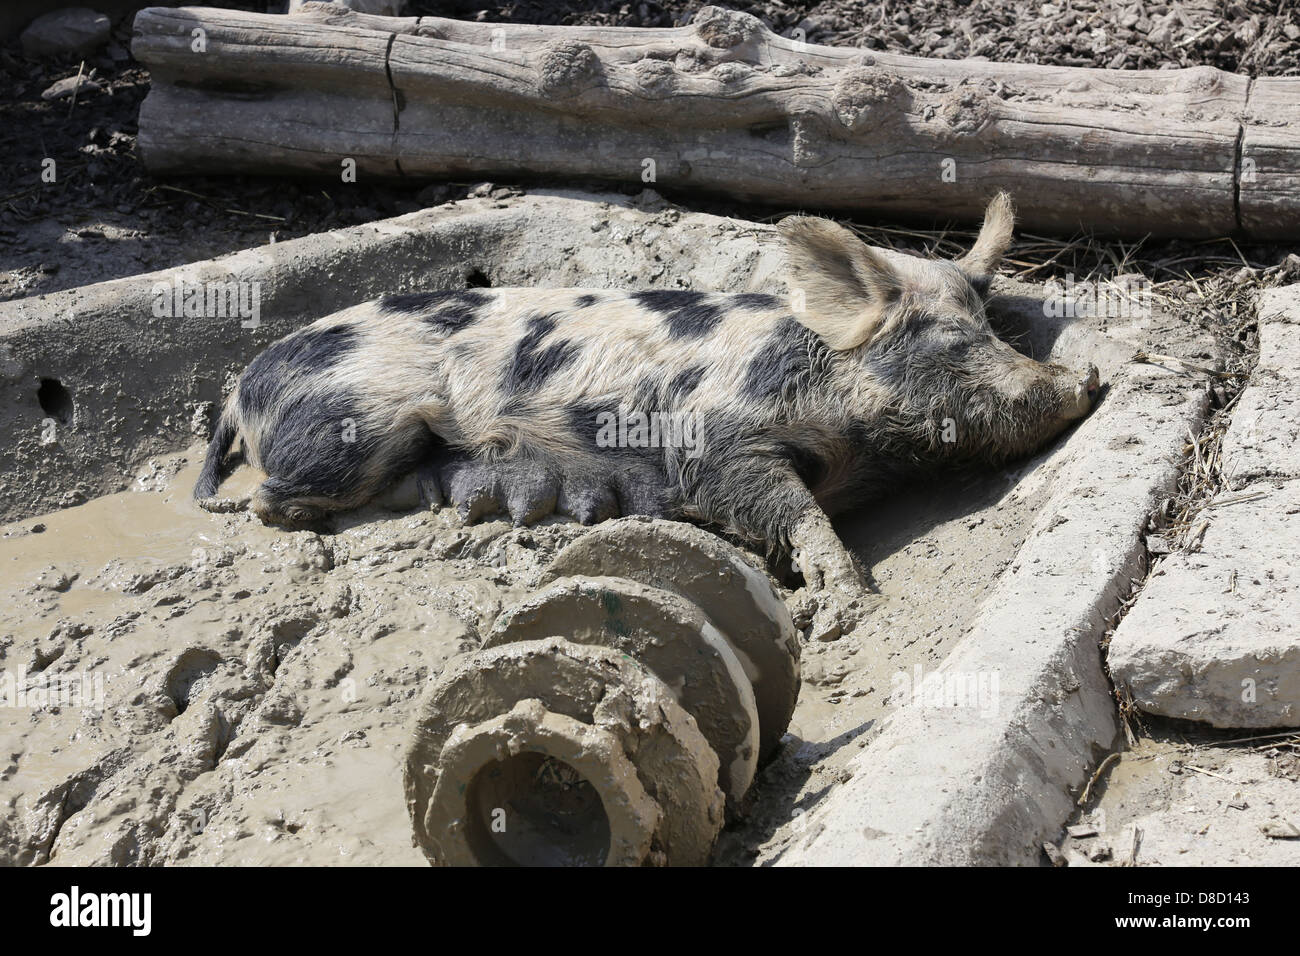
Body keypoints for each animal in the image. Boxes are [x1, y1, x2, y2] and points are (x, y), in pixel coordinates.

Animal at [195, 193, 1099, 637]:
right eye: (952, 341)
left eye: (990, 326)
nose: (1087, 375)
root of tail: (243, 390)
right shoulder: (719, 440)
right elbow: (787, 509)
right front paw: (847, 601)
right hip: (348, 428)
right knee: (268, 501)